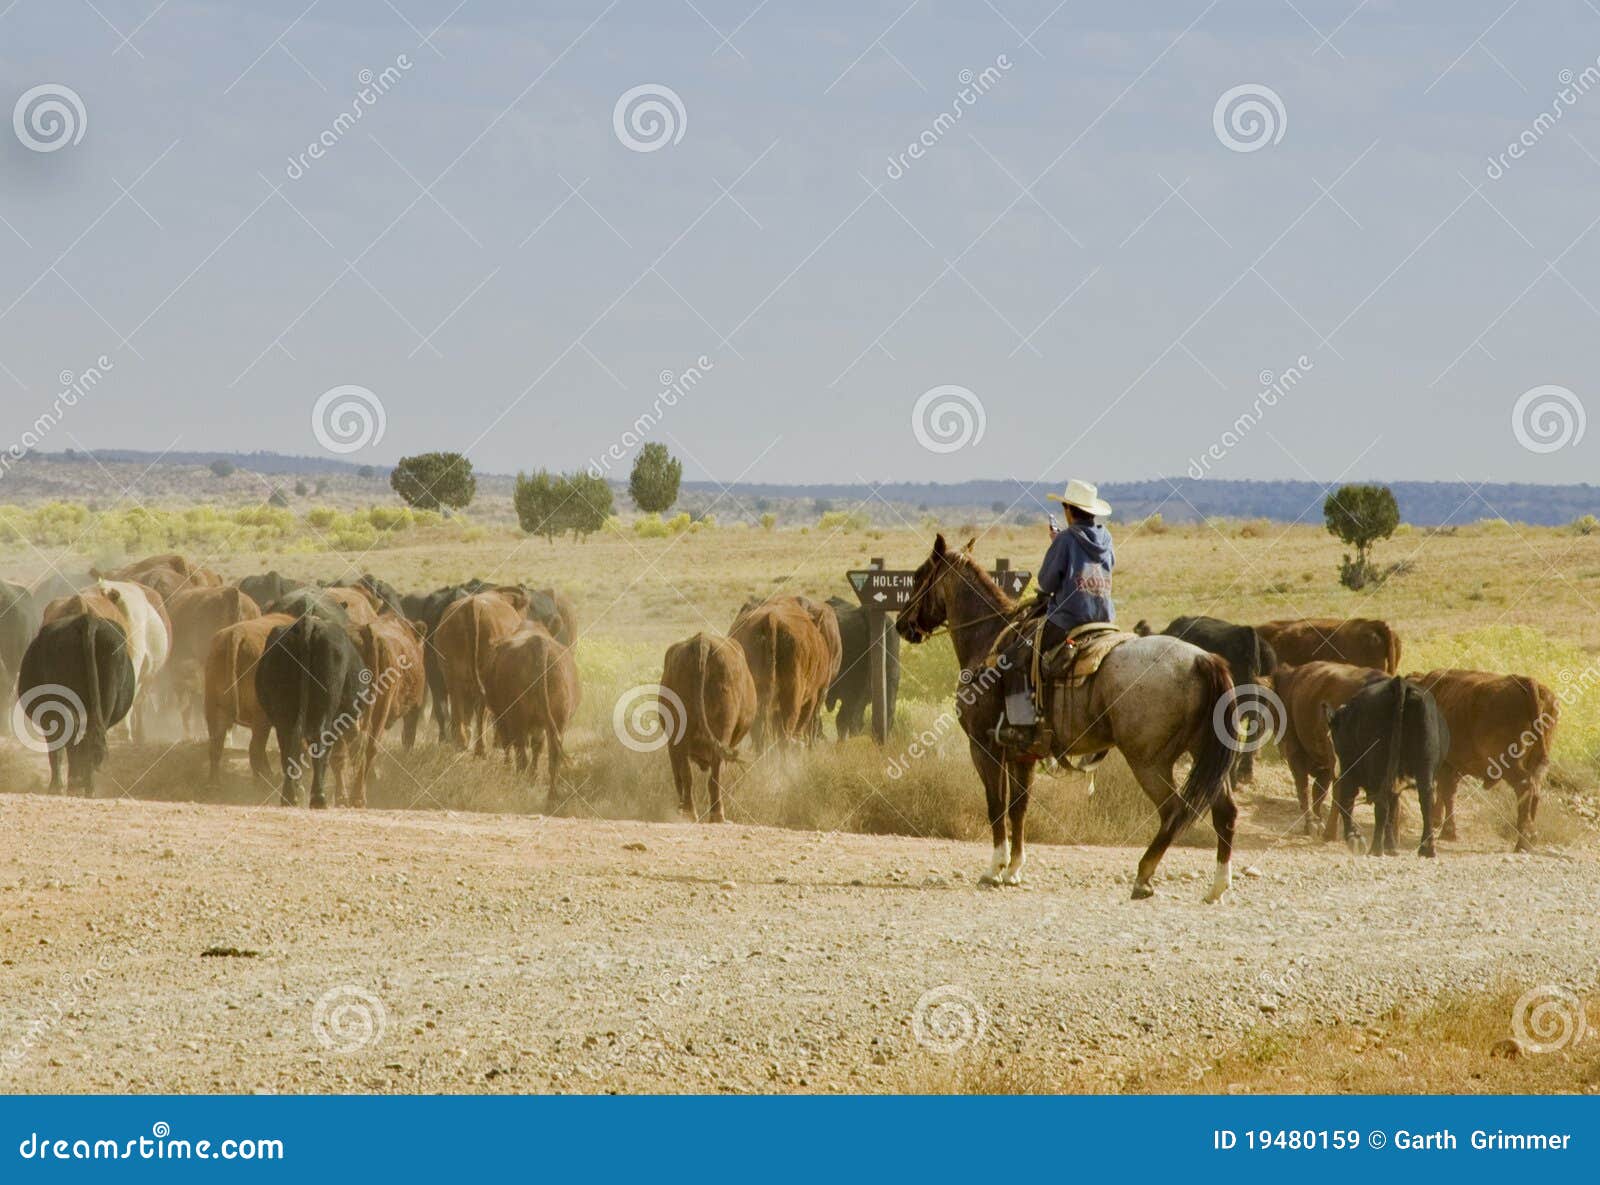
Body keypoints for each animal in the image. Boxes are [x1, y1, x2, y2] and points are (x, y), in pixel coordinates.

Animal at [894, 534, 1240, 902]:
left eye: (919, 576)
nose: (902, 624)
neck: (988, 638)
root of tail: (1201, 659)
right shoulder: (1023, 755)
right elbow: (1018, 808)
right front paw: (1014, 870)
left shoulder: (984, 746)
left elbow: (996, 804)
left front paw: (994, 869)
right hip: (1201, 753)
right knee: (1225, 811)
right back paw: (1217, 886)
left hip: (1150, 761)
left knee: (1174, 810)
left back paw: (1143, 876)